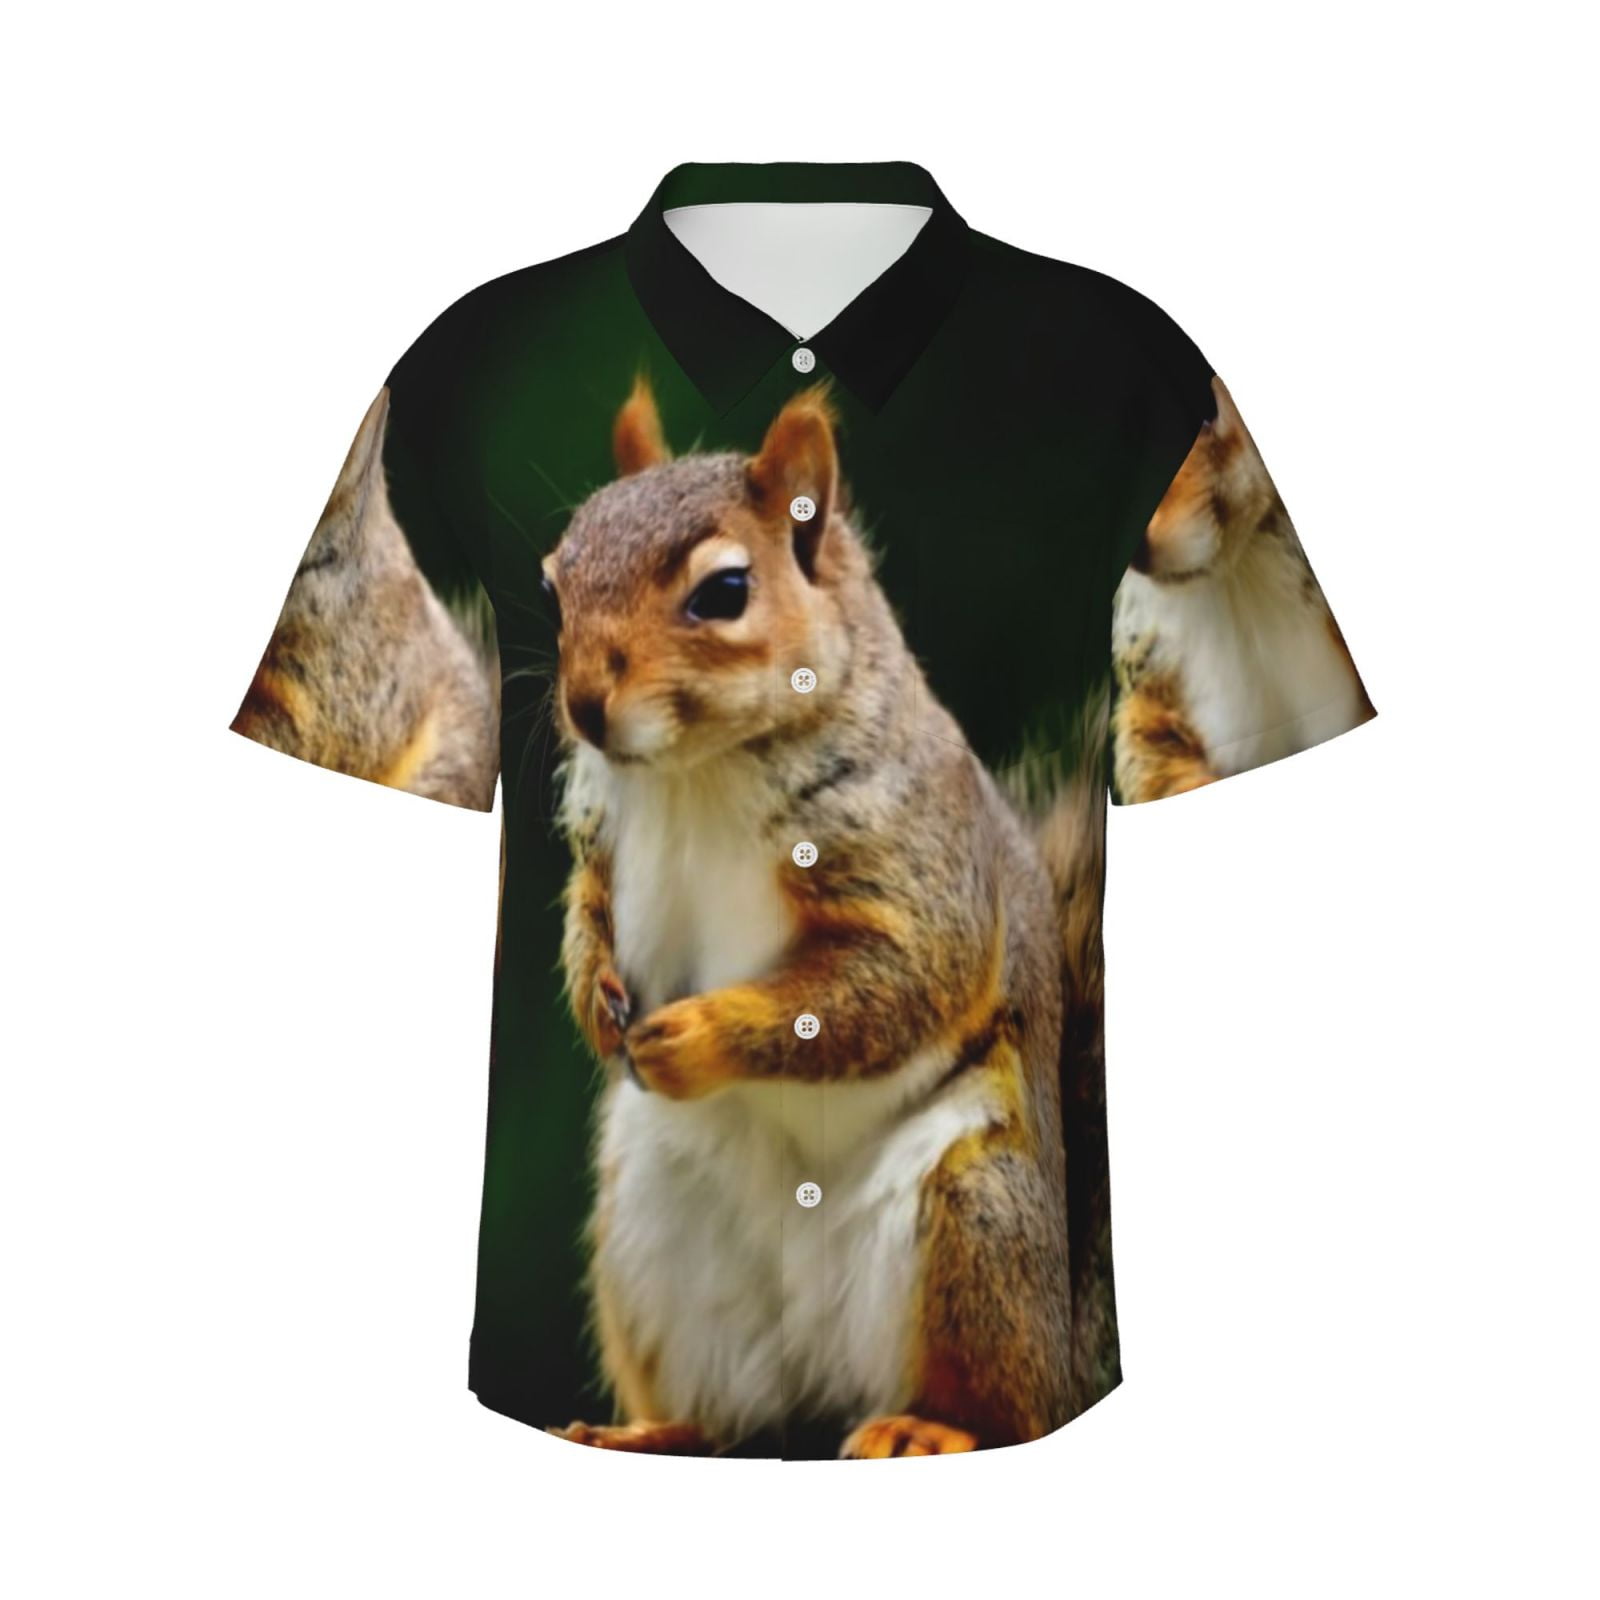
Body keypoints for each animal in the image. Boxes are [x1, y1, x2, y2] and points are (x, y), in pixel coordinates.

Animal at [543, 378, 1106, 1457]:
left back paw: (927, 1429)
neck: (696, 770)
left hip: (975, 1212)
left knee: (1007, 1408)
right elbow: (587, 913)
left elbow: (894, 980)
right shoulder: (601, 835)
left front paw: (694, 1033)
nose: (585, 703)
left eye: (723, 592)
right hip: (650, 1230)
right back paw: (646, 1430)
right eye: (555, 582)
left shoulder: (917, 865)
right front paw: (598, 1000)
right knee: (724, 1419)